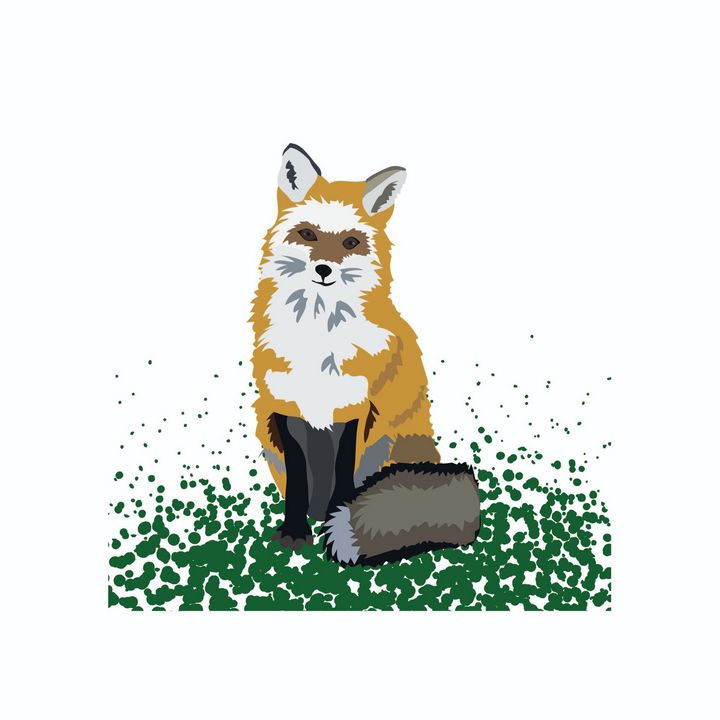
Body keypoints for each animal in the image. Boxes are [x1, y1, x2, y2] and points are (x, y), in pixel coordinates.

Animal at [251, 144, 480, 565]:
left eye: (351, 243)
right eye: (307, 234)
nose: (324, 269)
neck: (317, 335)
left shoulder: (353, 407)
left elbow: (343, 477)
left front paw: (334, 524)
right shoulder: (286, 408)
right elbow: (297, 483)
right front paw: (295, 533)